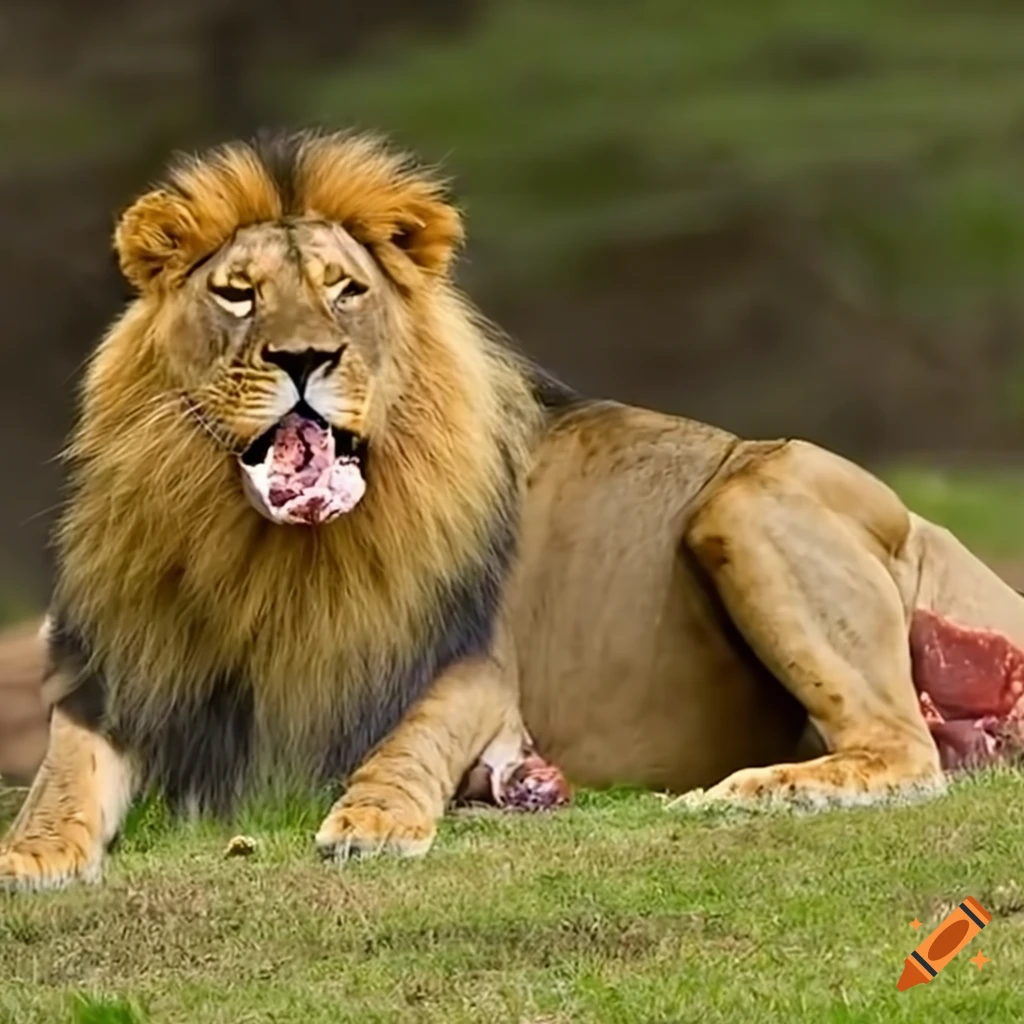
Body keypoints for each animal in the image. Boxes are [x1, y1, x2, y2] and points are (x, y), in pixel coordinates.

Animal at [2, 128, 1024, 890]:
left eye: (347, 291)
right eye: (237, 294)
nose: (304, 360)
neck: (259, 550)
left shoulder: (474, 669)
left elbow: (407, 743)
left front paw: (374, 821)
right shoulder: (114, 674)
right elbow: (60, 776)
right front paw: (31, 854)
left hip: (749, 491)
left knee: (901, 753)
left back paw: (759, 789)